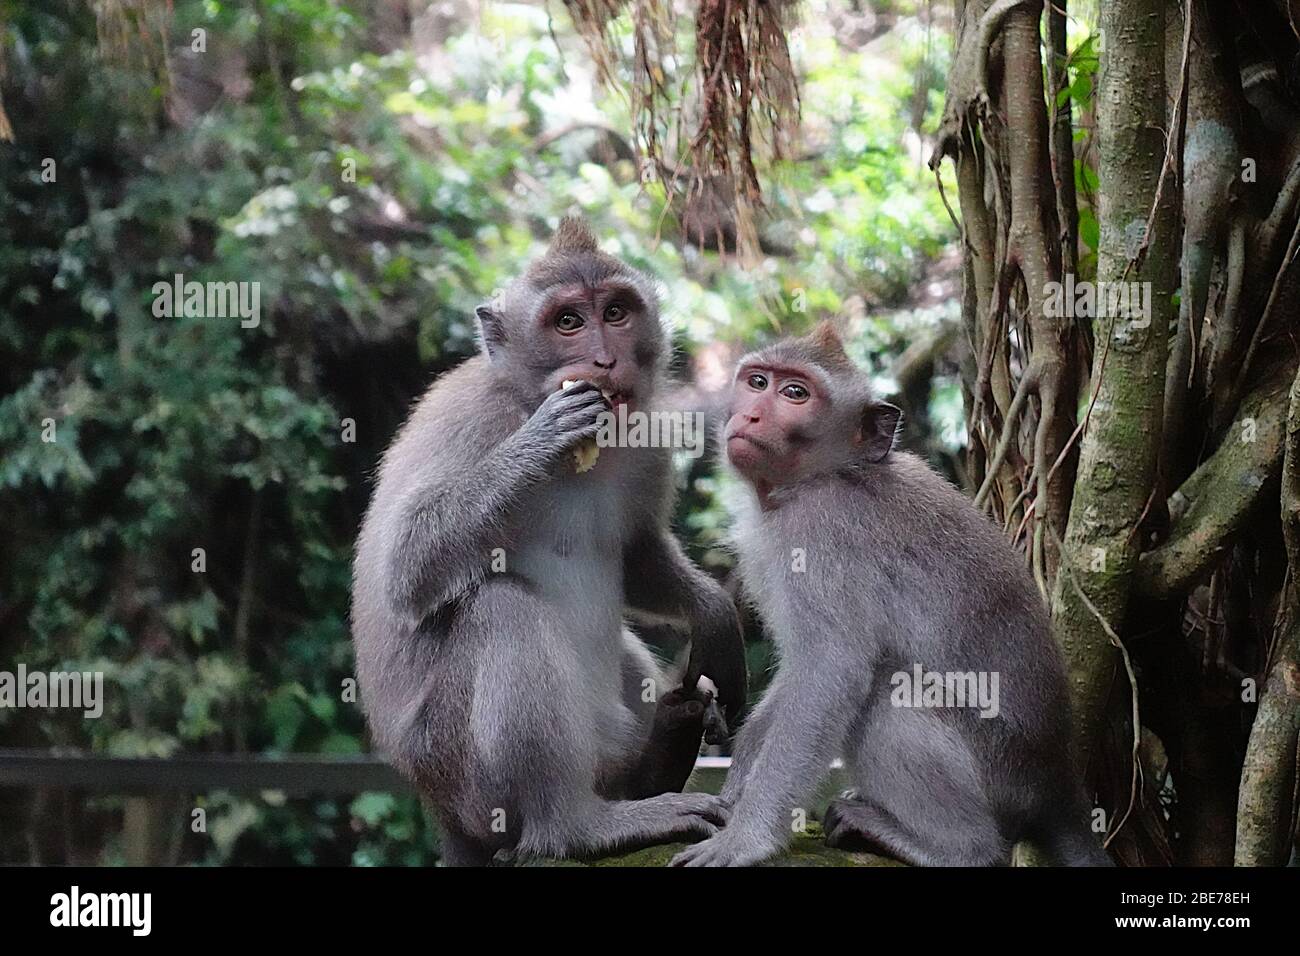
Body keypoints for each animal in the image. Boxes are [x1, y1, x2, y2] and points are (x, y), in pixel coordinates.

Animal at [350, 217, 748, 865]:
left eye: (615, 312)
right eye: (567, 322)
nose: (604, 359)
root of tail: (438, 809)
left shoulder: (645, 436)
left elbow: (638, 554)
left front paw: (713, 612)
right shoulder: (467, 421)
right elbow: (405, 568)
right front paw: (542, 439)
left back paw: (658, 758)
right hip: (457, 771)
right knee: (500, 608)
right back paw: (575, 825)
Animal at [672, 322, 1111, 867]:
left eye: (795, 394)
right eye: (757, 382)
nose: (750, 414)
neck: (824, 476)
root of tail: (1058, 785)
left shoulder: (822, 532)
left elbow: (830, 671)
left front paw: (746, 837)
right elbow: (800, 671)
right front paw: (732, 795)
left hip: (1002, 775)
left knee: (886, 696)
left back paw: (949, 846)